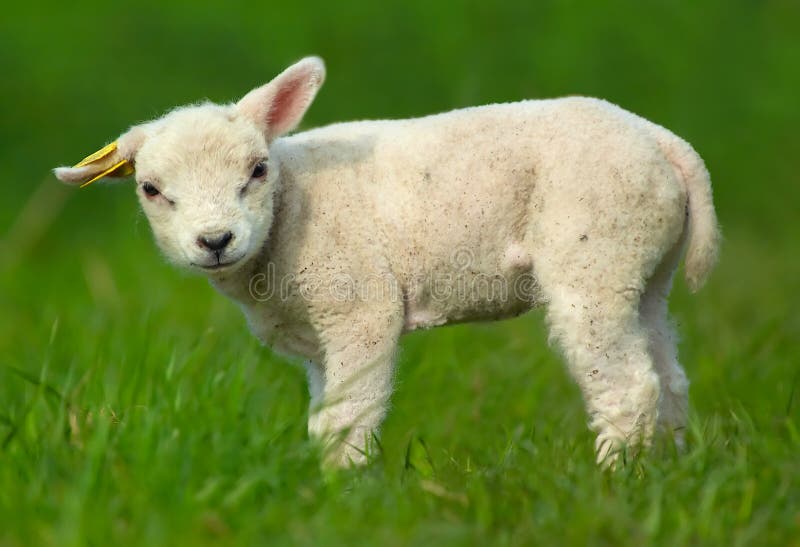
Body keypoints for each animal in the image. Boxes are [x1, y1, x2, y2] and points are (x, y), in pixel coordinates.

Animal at [55, 56, 720, 468]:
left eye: (257, 170)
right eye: (151, 190)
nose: (215, 240)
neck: (292, 204)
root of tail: (665, 143)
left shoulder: (358, 308)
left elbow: (347, 419)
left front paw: (341, 491)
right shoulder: (319, 337)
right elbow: (324, 416)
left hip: (595, 250)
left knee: (626, 383)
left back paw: (614, 481)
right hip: (642, 263)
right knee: (669, 374)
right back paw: (669, 471)